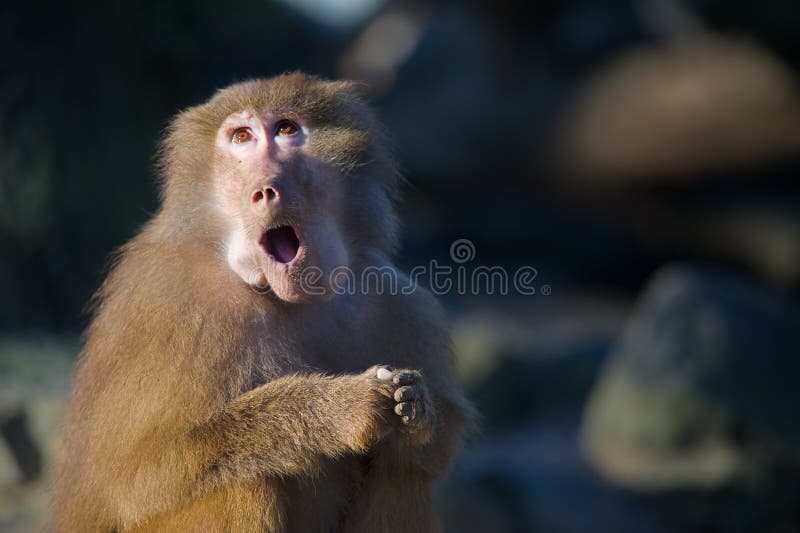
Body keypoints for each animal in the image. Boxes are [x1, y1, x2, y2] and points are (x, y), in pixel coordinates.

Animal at [52, 73, 476, 532]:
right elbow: (138, 475)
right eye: (241, 137)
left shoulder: (395, 297)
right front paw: (336, 409)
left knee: (401, 474)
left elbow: (434, 447)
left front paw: (417, 408)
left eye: (286, 129)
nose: (266, 190)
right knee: (244, 482)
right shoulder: (173, 307)